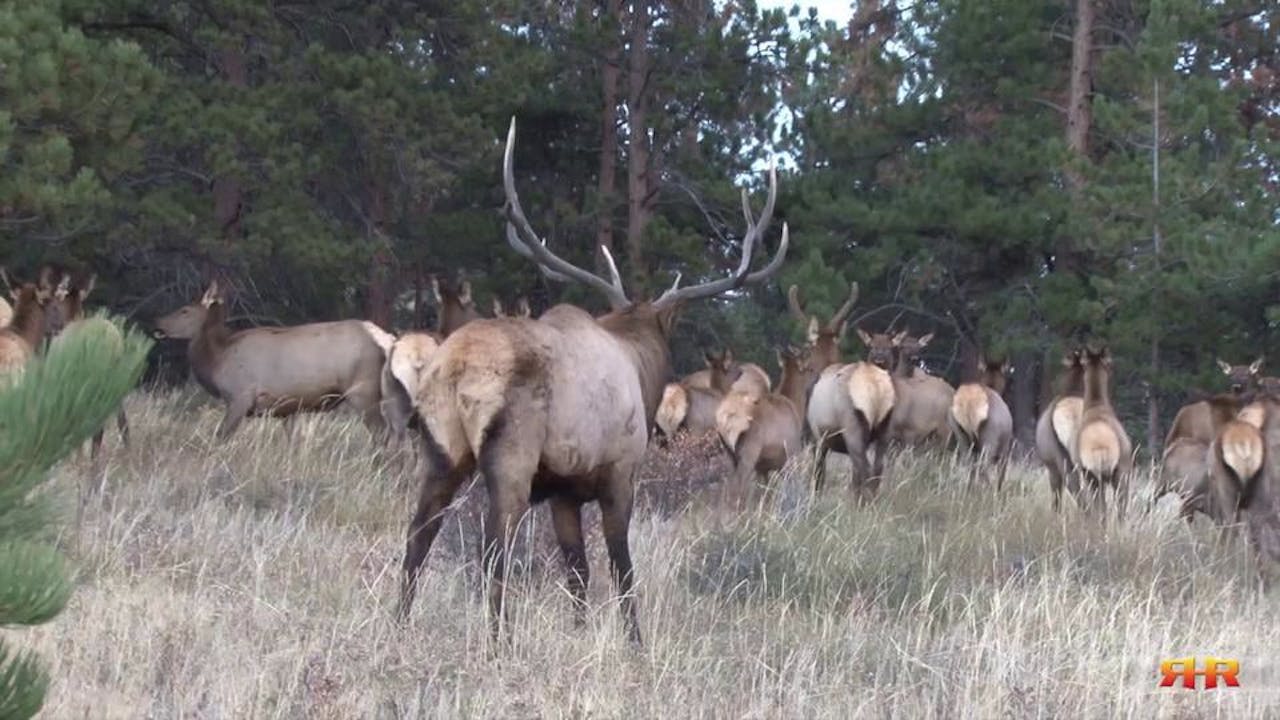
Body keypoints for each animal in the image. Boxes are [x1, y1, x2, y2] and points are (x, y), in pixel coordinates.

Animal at [153, 280, 389, 440]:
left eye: (185, 310)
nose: (158, 324)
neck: (217, 360)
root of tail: (387, 340)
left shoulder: (240, 396)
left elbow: (221, 436)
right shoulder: (288, 409)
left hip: (363, 392)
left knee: (385, 436)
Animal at [397, 119, 789, 645]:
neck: (640, 365)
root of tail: (455, 368)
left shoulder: (564, 491)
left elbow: (577, 570)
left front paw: (580, 632)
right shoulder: (621, 470)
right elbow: (621, 566)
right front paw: (635, 642)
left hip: (440, 450)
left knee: (417, 538)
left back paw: (398, 628)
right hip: (510, 454)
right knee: (492, 551)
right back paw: (498, 645)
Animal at [949, 355, 1014, 490]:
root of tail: (969, 402)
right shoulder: (1005, 447)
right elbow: (1002, 472)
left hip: (959, 432)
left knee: (968, 462)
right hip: (990, 435)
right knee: (984, 465)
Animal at [1069, 344, 1133, 517]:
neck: (1095, 405)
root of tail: (1102, 449)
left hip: (1094, 475)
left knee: (1102, 509)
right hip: (1120, 471)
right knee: (1119, 508)